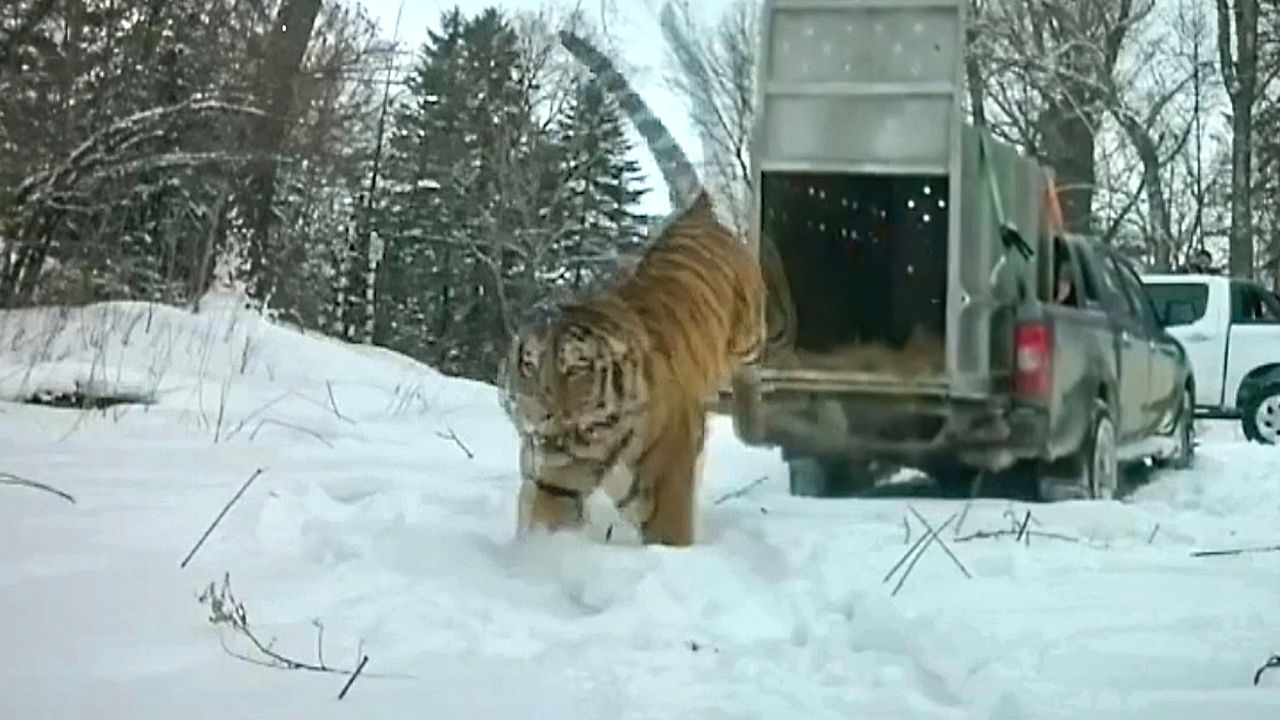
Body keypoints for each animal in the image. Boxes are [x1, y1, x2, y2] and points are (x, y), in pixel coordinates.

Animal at [497, 32, 770, 546]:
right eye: (528, 363)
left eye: (576, 369)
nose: (539, 416)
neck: (593, 437)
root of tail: (697, 212)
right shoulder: (555, 480)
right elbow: (545, 518)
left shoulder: (666, 490)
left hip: (752, 333)